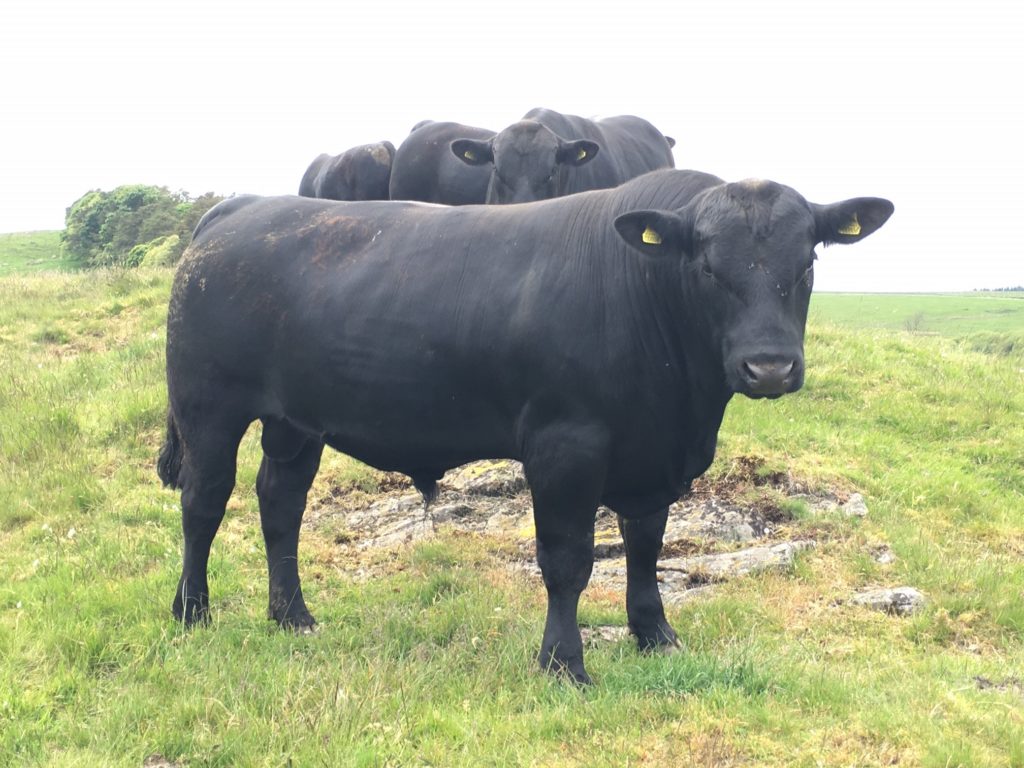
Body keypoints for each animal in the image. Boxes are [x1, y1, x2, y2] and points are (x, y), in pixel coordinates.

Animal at [159, 169, 893, 684]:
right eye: (708, 265)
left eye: (808, 263)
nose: (769, 366)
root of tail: (242, 208)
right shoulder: (565, 445)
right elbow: (567, 561)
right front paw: (563, 664)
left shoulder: (651, 454)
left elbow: (645, 548)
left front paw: (655, 636)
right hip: (208, 406)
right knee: (203, 502)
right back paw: (193, 612)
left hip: (295, 422)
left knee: (280, 503)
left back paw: (294, 617)